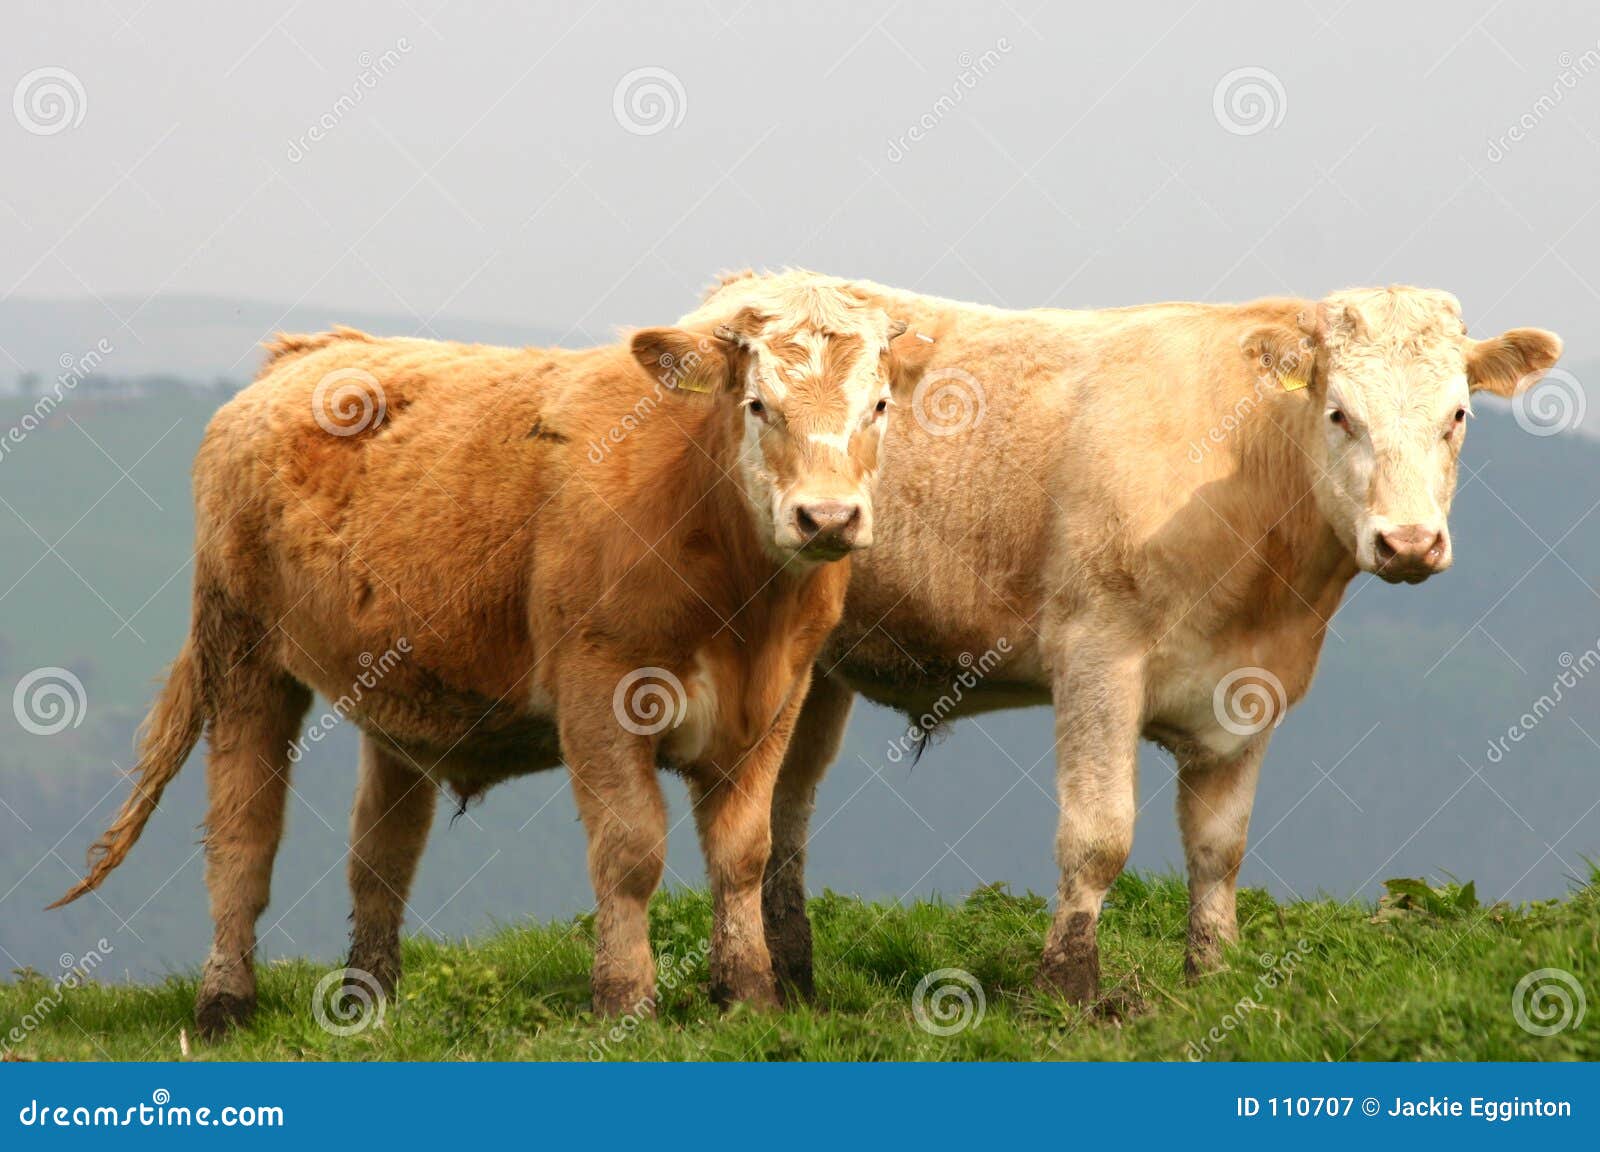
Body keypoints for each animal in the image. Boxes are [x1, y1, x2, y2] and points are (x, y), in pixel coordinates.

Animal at [53, 273, 919, 1036]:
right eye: (758, 404)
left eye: (878, 405)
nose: (828, 517)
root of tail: (306, 352)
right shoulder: (599, 691)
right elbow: (630, 851)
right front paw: (626, 1003)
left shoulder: (775, 700)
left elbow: (743, 855)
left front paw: (748, 997)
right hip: (244, 661)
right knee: (242, 843)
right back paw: (225, 1003)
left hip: (392, 691)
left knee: (381, 852)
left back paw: (368, 1000)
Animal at [686, 272, 1563, 1005]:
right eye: (1341, 414)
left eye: (1457, 415)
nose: (1409, 541)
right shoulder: (1096, 654)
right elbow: (1098, 837)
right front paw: (1068, 989)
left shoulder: (1251, 685)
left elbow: (1218, 848)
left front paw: (1212, 975)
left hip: (816, 670)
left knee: (788, 804)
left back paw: (795, 976)